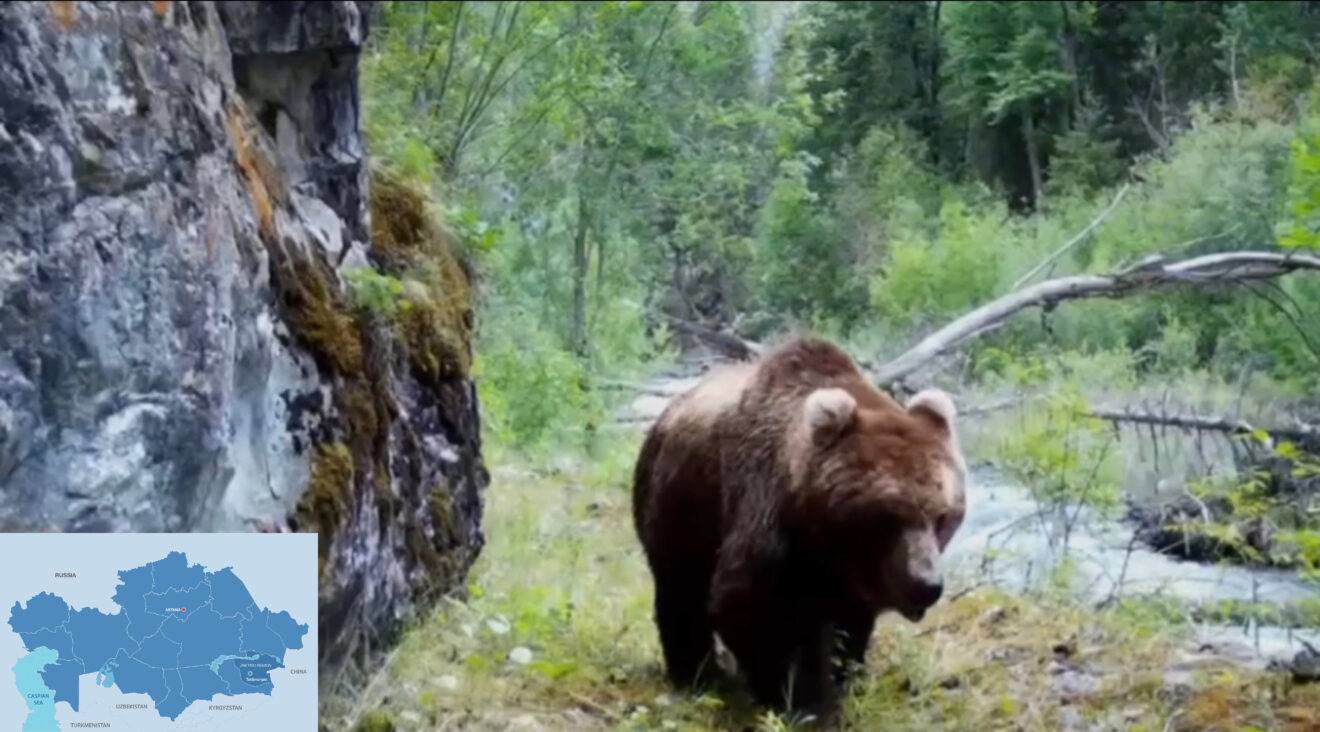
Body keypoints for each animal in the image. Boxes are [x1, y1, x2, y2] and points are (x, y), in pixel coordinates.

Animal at [631, 335, 967, 724]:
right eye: (890, 515)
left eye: (942, 516)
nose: (925, 584)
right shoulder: (764, 517)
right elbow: (747, 607)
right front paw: (799, 701)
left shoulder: (849, 577)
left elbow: (848, 627)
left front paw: (843, 679)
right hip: (679, 508)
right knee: (681, 592)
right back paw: (698, 676)